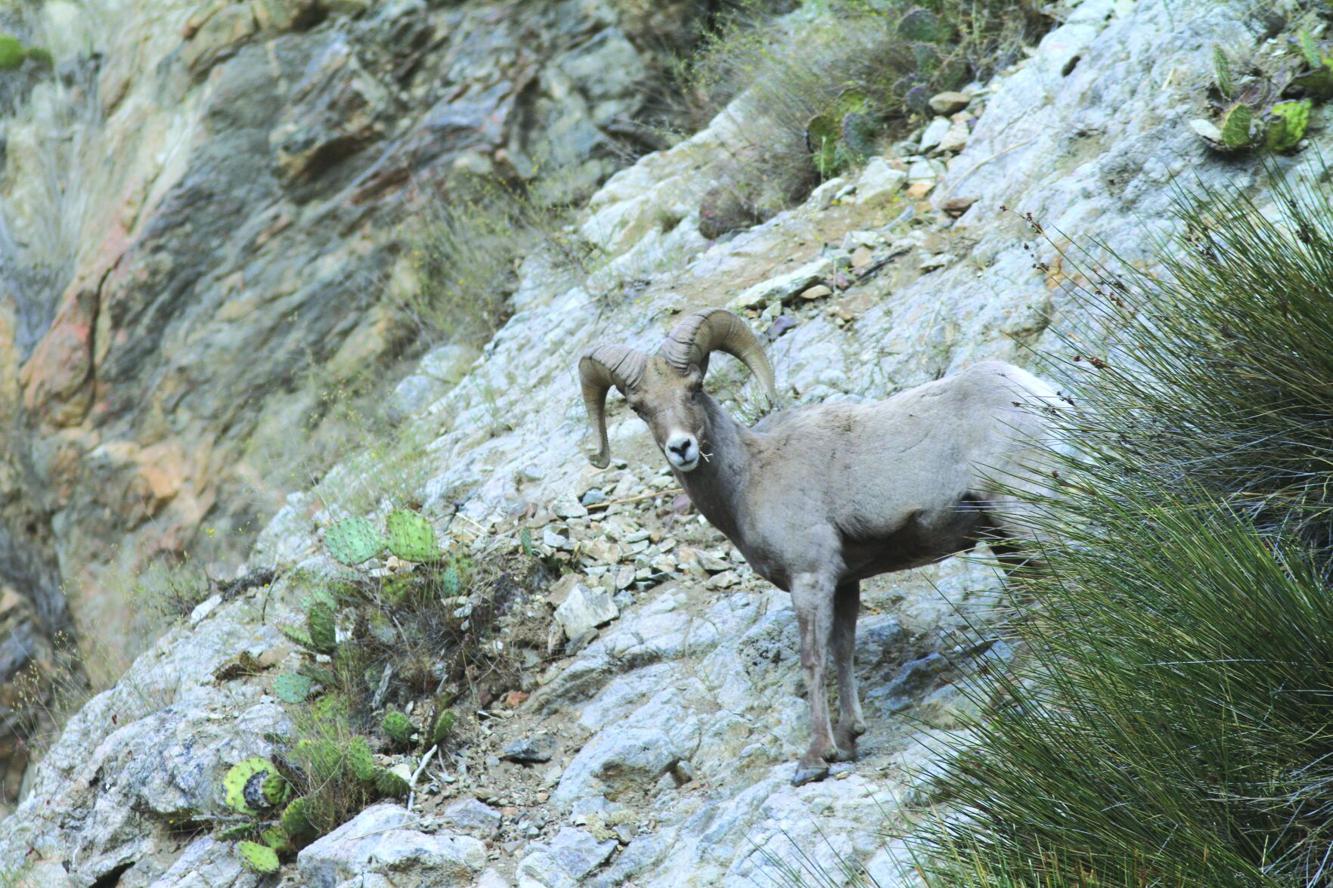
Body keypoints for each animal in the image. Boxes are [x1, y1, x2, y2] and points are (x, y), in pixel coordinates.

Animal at [578, 308, 1060, 786]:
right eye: (640, 408)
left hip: (1021, 513)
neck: (750, 476)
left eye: (695, 388)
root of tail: (1038, 395)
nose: (682, 448)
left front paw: (815, 759)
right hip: (1003, 536)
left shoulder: (809, 578)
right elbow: (843, 650)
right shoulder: (845, 582)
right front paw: (848, 740)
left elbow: (813, 659)